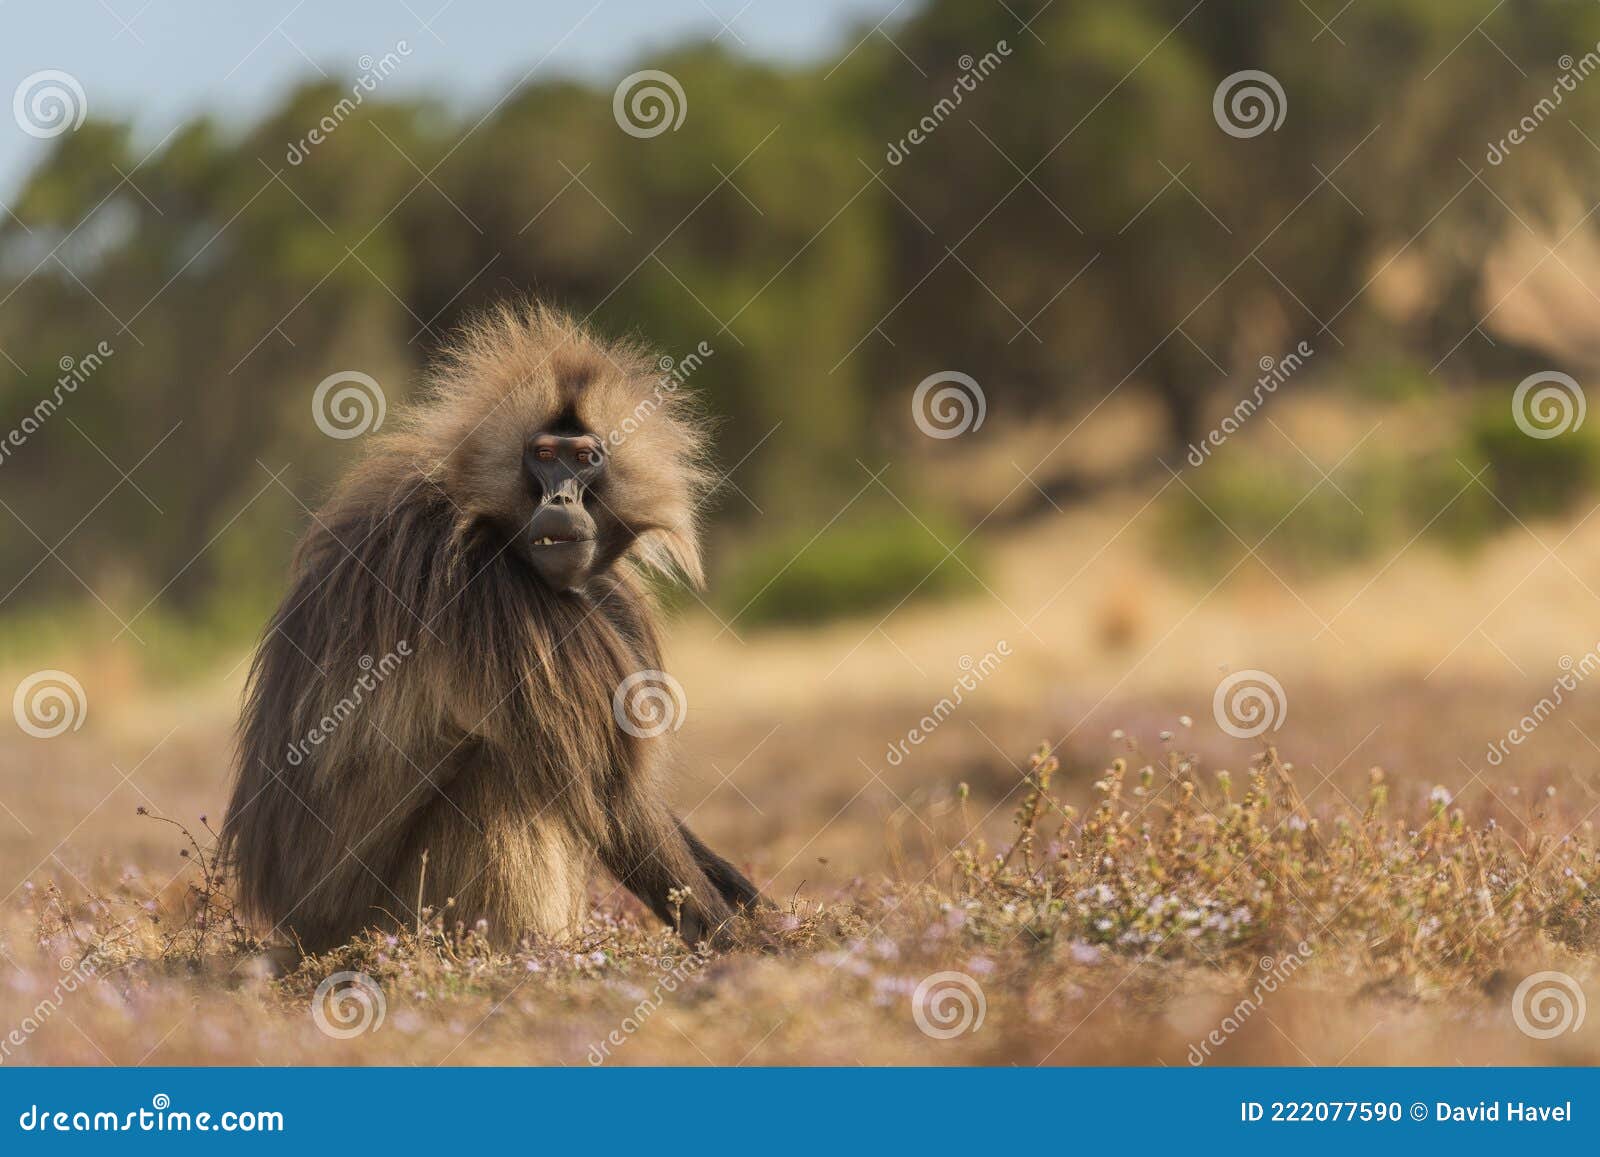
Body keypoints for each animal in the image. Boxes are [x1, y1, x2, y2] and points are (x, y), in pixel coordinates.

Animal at [219, 302, 766, 955]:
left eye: (585, 458)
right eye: (544, 456)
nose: (561, 500)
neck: (489, 523)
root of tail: (297, 932)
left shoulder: (607, 597)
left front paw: (757, 906)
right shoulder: (493, 598)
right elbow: (613, 798)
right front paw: (752, 948)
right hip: (391, 917)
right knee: (497, 770)